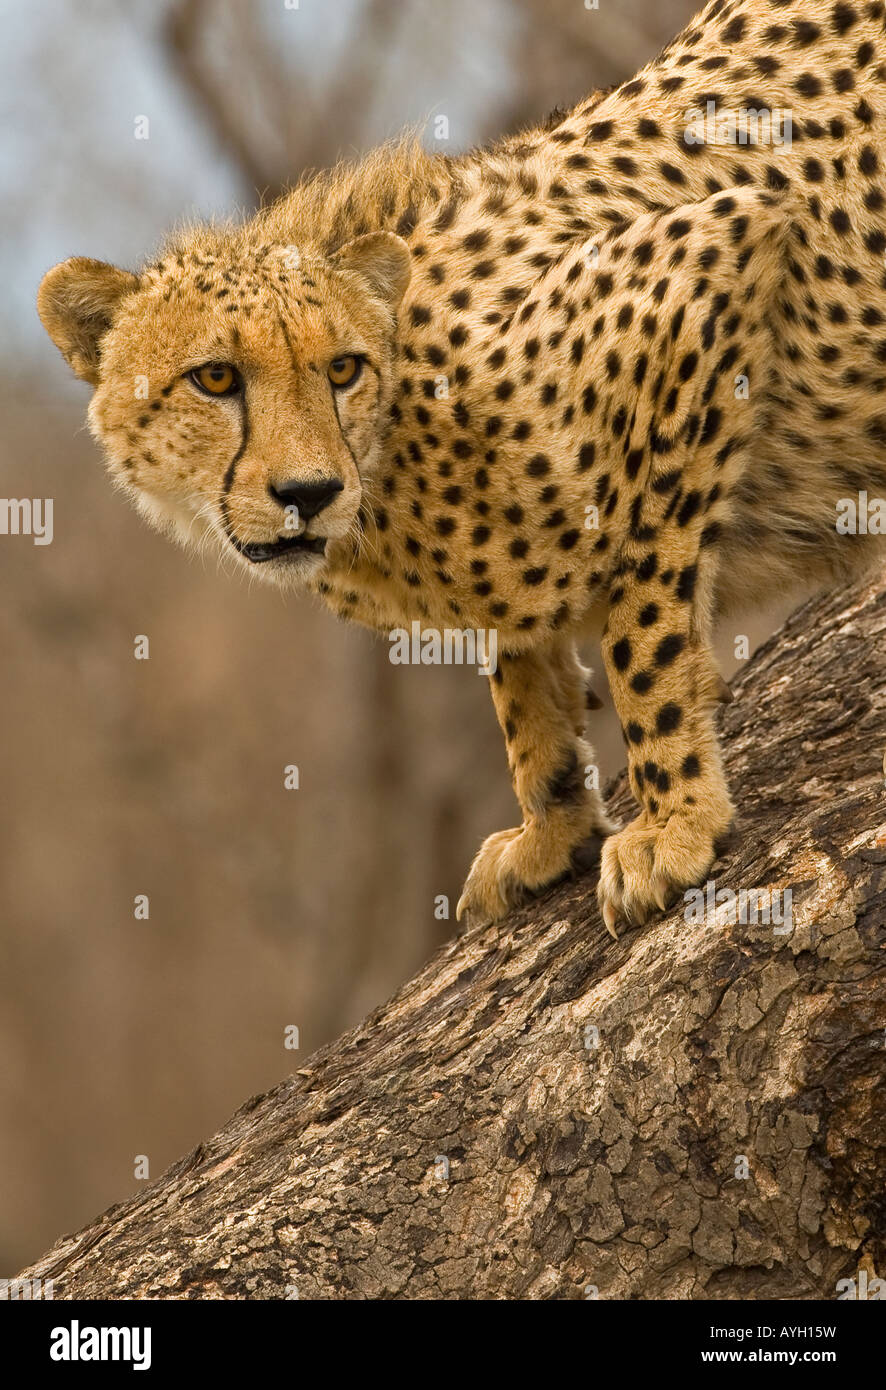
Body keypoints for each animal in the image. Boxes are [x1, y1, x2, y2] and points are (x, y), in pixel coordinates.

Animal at [38, 0, 886, 937]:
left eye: (343, 369)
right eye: (215, 378)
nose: (308, 494)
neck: (391, 453)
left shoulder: (712, 255)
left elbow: (641, 639)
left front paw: (673, 822)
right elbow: (520, 666)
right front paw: (551, 825)